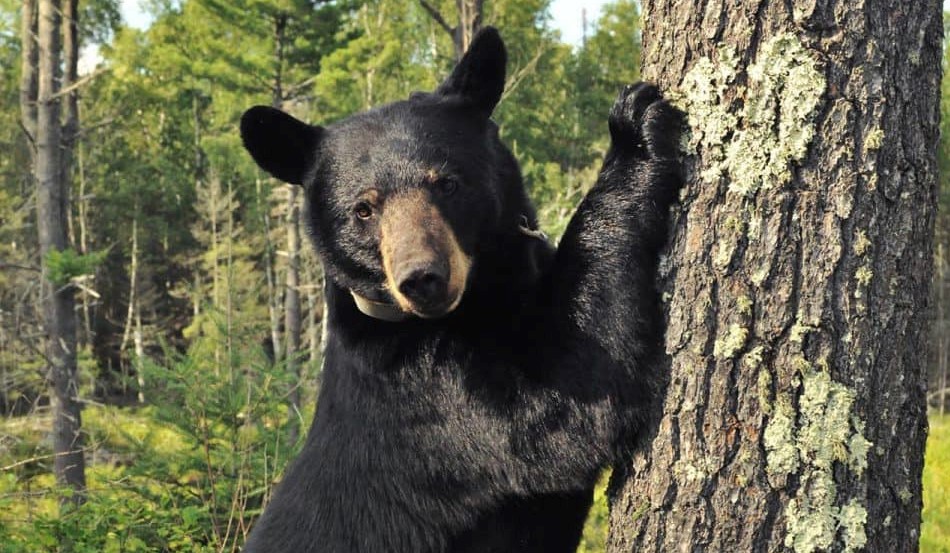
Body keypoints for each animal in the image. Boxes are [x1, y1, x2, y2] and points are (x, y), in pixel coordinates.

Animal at [238, 27, 683, 553]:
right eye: (363, 209)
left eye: (446, 183)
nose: (422, 278)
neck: (466, 308)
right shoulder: (426, 397)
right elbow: (567, 402)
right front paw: (633, 130)